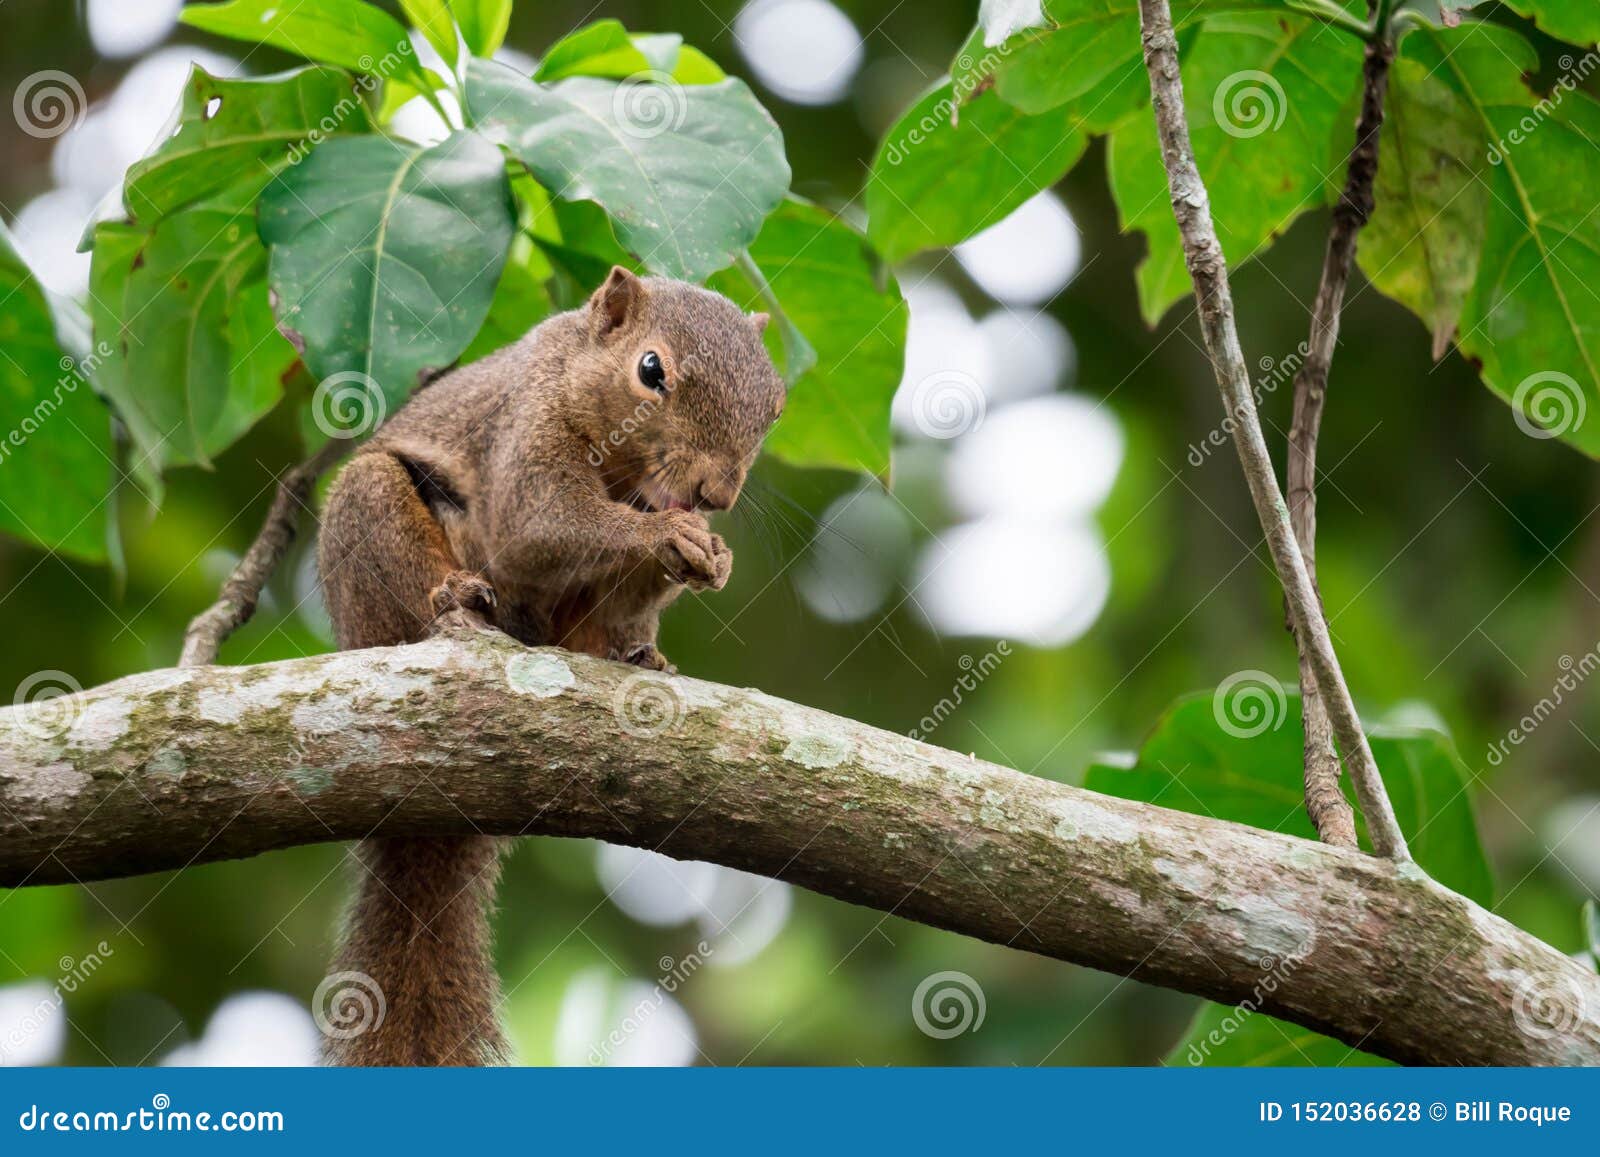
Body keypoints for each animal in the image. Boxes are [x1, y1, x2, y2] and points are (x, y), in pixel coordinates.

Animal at [315, 266, 784, 1065]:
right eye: (651, 370)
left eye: (777, 403)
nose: (716, 494)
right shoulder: (525, 426)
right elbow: (537, 525)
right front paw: (665, 534)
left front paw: (707, 555)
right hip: (369, 521)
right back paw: (452, 598)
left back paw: (638, 654)